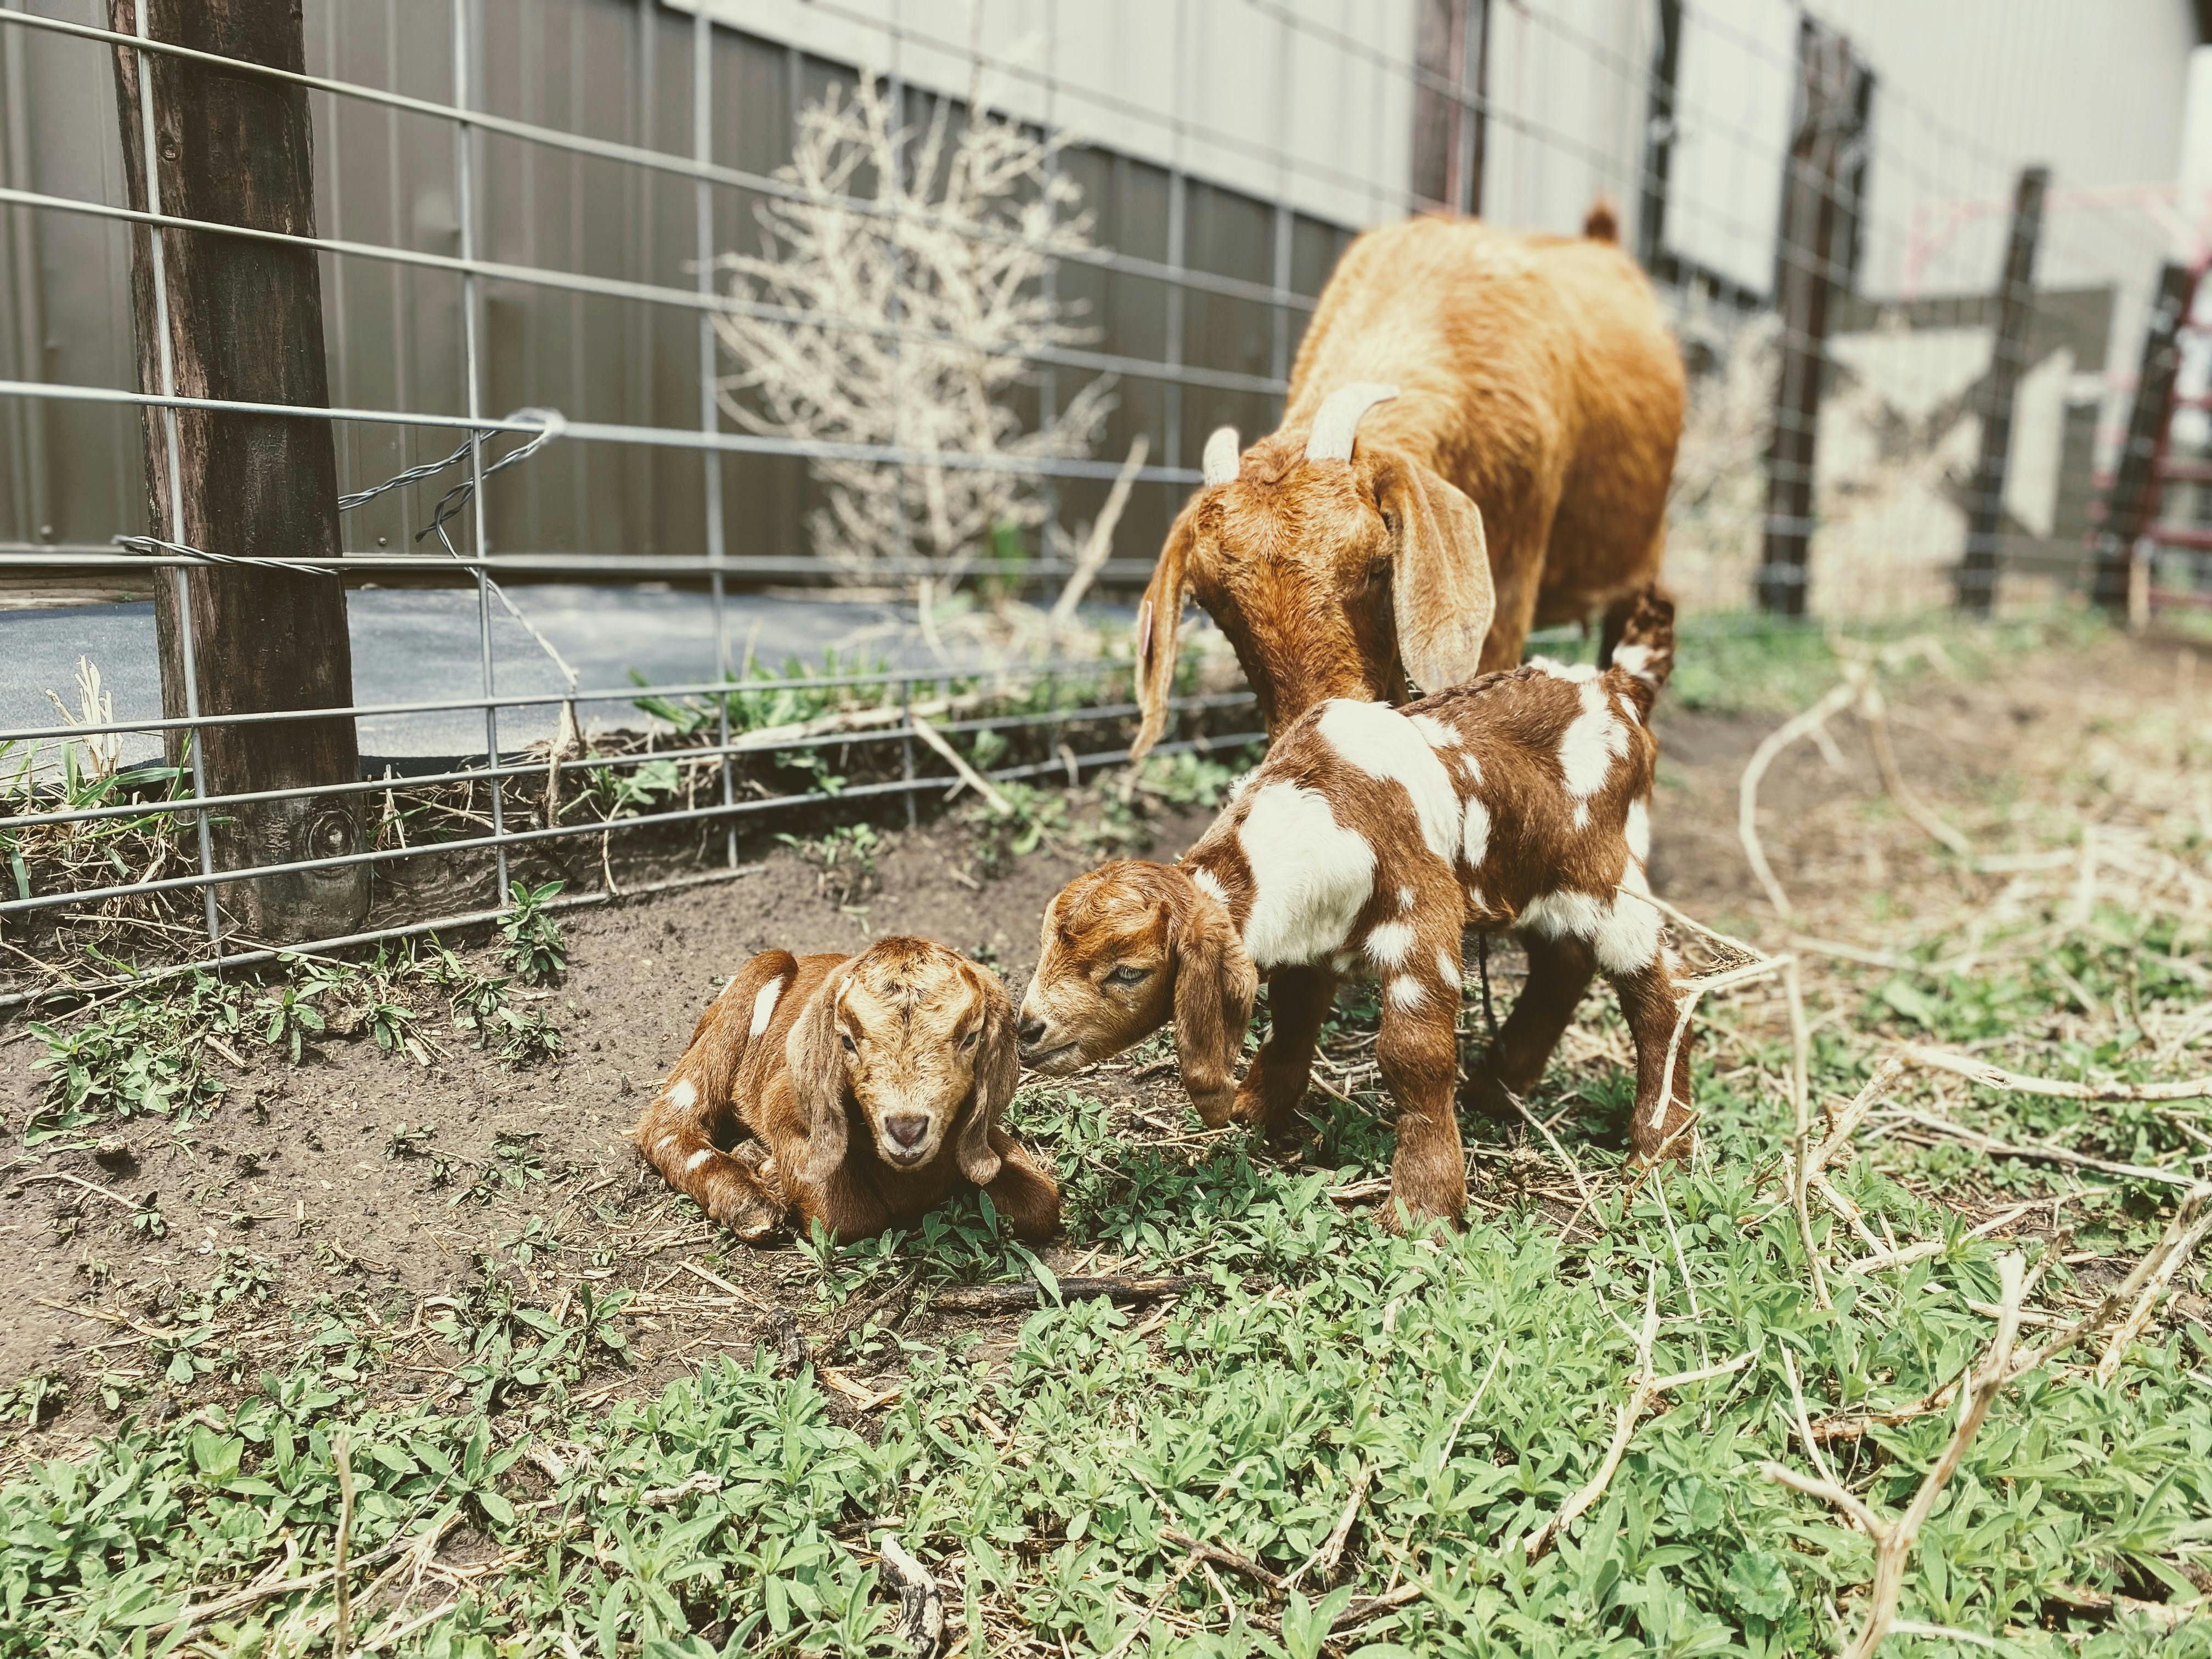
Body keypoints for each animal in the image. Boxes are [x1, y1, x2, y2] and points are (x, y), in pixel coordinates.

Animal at [634, 936, 1059, 1243]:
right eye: (847, 1040)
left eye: (971, 1037)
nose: (907, 1129)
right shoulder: (786, 1100)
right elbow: (849, 1220)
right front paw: (772, 1176)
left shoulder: (977, 1135)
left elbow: (1044, 1202)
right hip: (751, 987)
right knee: (667, 1122)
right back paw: (750, 1203)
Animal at [1023, 591, 1690, 1229]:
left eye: (1128, 972)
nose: (1028, 1029)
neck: (1319, 805)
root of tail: (1619, 686)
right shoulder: (1305, 942)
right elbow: (1293, 1021)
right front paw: (1254, 1109)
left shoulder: (1423, 913)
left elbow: (1412, 1057)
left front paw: (1423, 1209)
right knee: (1564, 963)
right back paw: (1496, 1089)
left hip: (1609, 874)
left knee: (1665, 990)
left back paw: (1659, 1148)